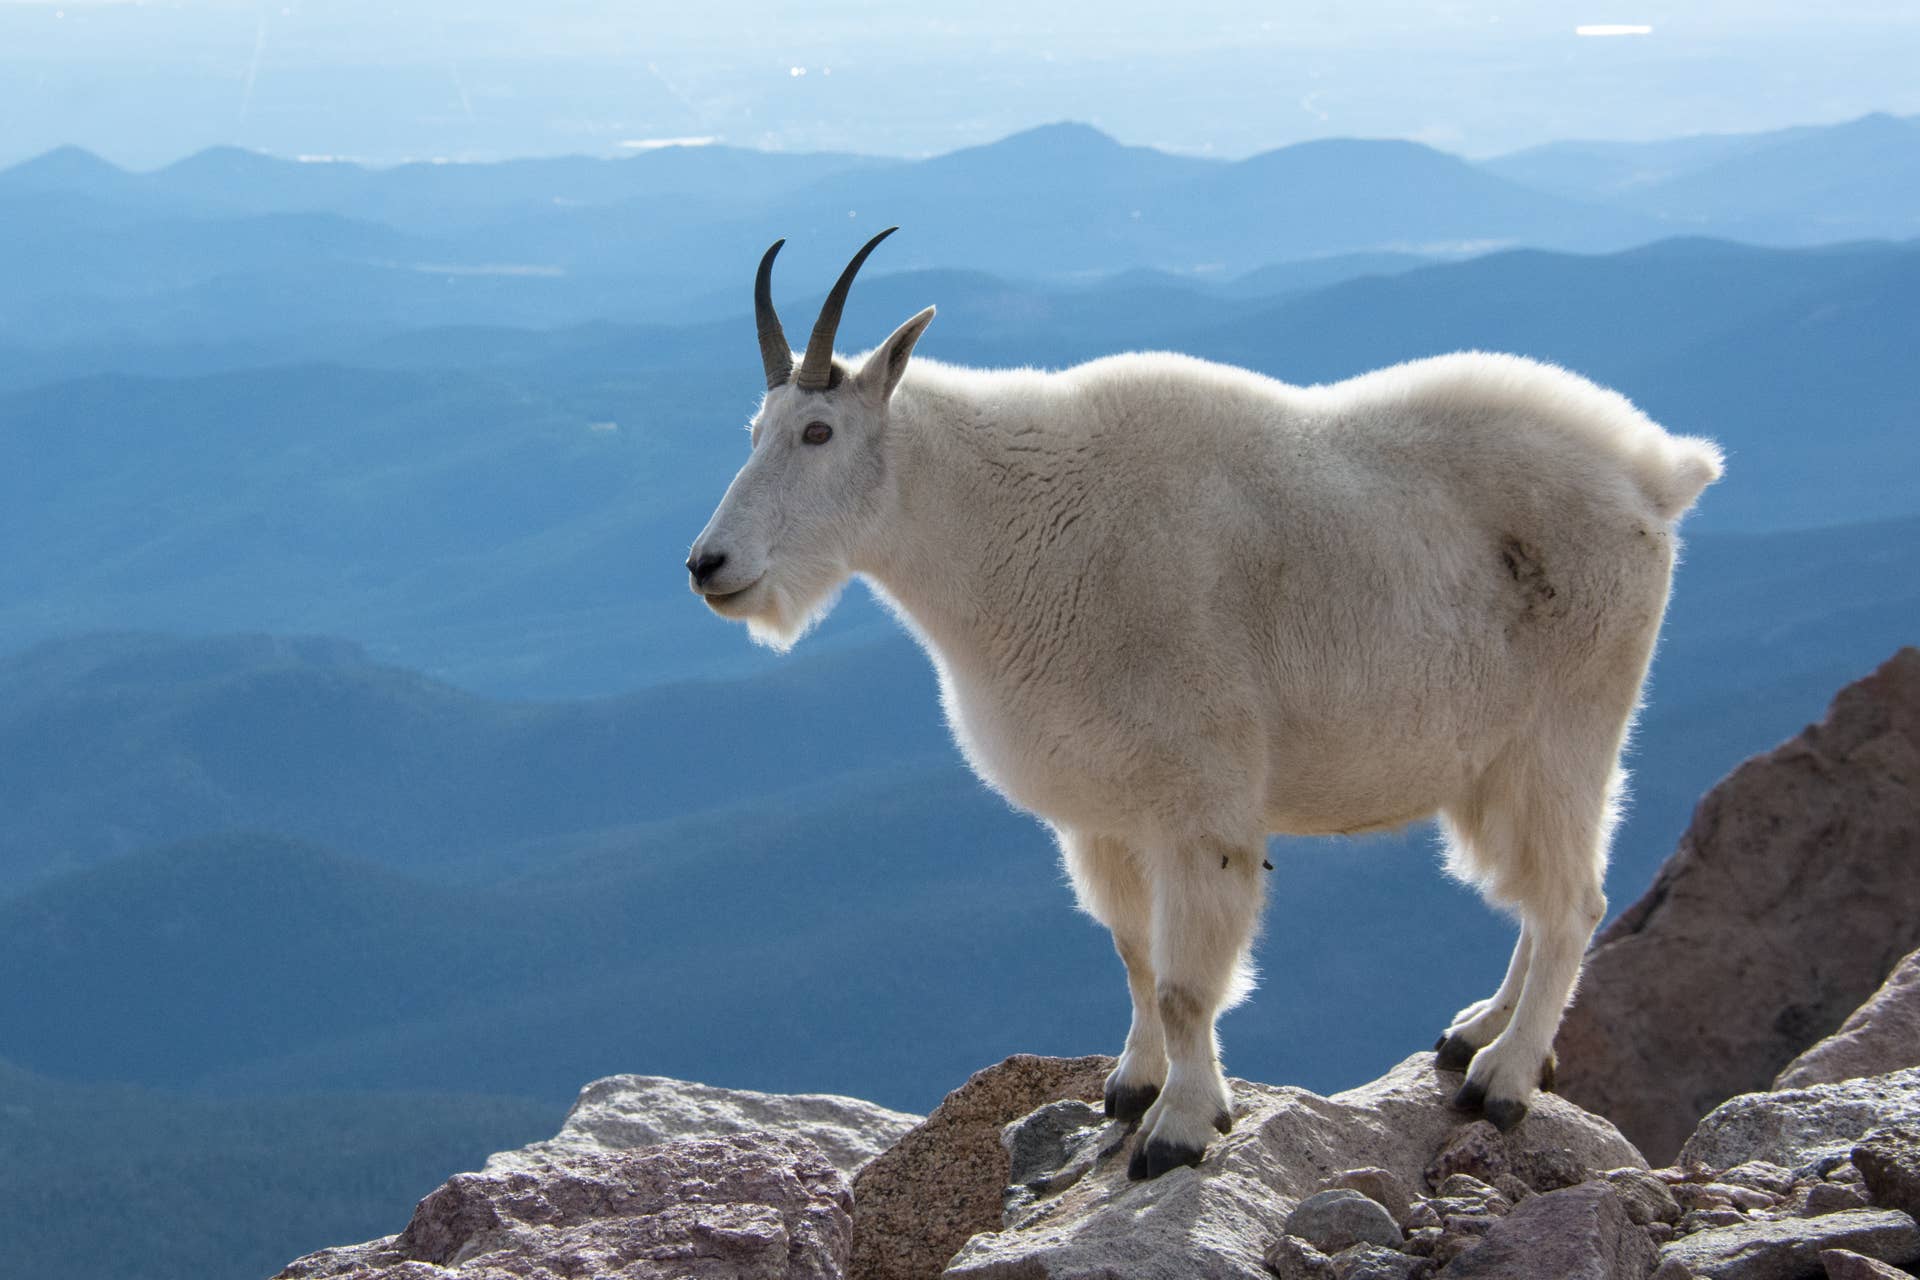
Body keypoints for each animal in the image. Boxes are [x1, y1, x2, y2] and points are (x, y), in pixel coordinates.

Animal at [686, 229, 1723, 1179]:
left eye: (819, 433)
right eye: (752, 433)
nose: (709, 565)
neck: (1010, 529)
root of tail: (1655, 478)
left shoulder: (1201, 805)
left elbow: (1190, 984)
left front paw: (1179, 1130)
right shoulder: (1104, 812)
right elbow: (1136, 956)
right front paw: (1133, 1087)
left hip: (1568, 732)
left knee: (1574, 901)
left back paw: (1502, 1081)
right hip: (1495, 761)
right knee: (1540, 900)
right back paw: (1477, 1032)